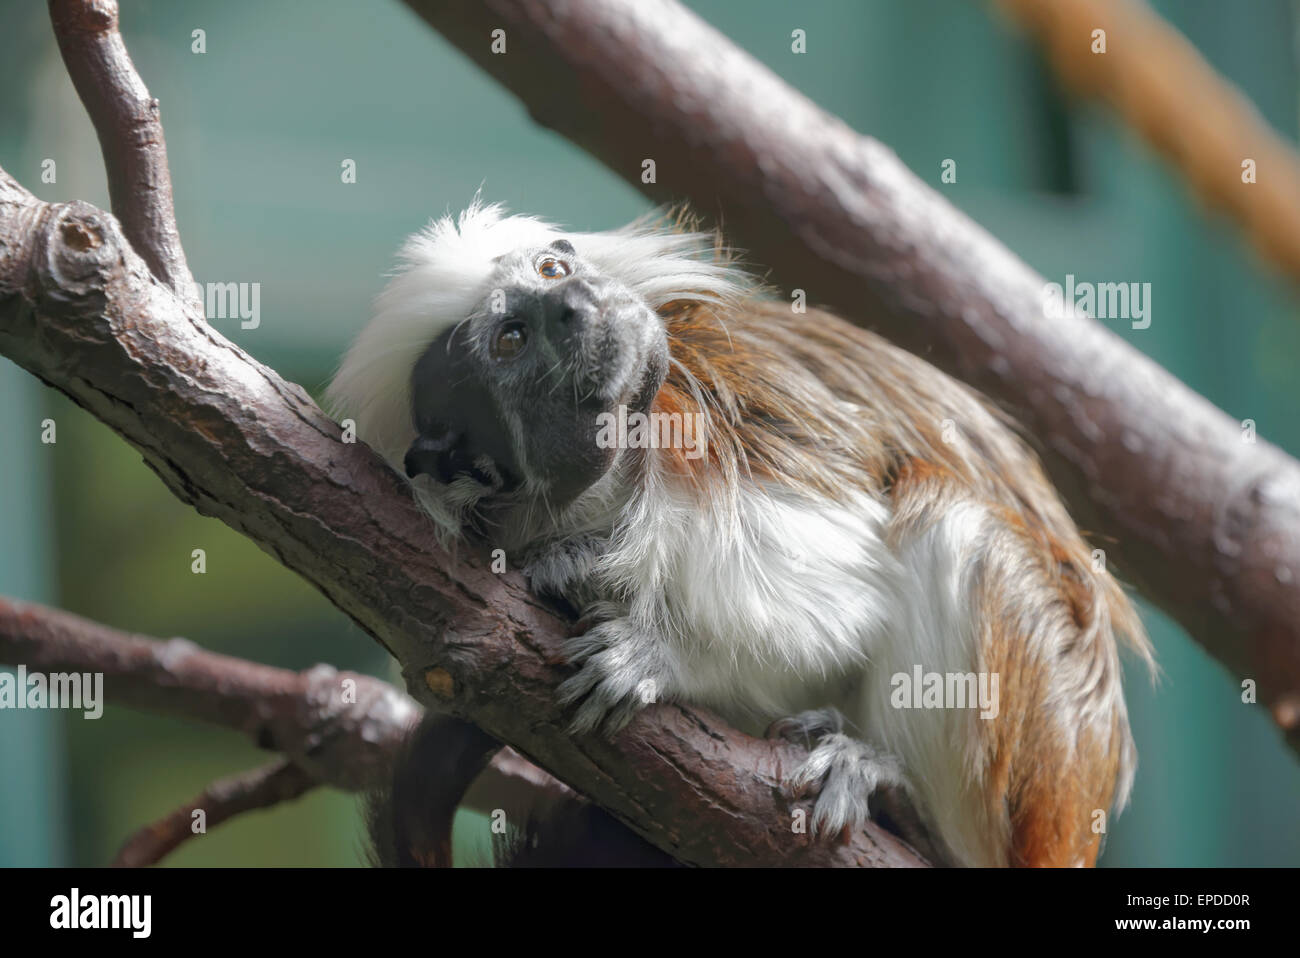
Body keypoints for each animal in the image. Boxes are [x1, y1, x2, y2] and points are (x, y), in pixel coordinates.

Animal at [329, 200, 1154, 867]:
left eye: (551, 268)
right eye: (511, 336)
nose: (574, 301)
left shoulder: (707, 409)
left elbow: (832, 607)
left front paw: (658, 654)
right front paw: (576, 570)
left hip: (1039, 762)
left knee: (956, 522)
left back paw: (899, 798)